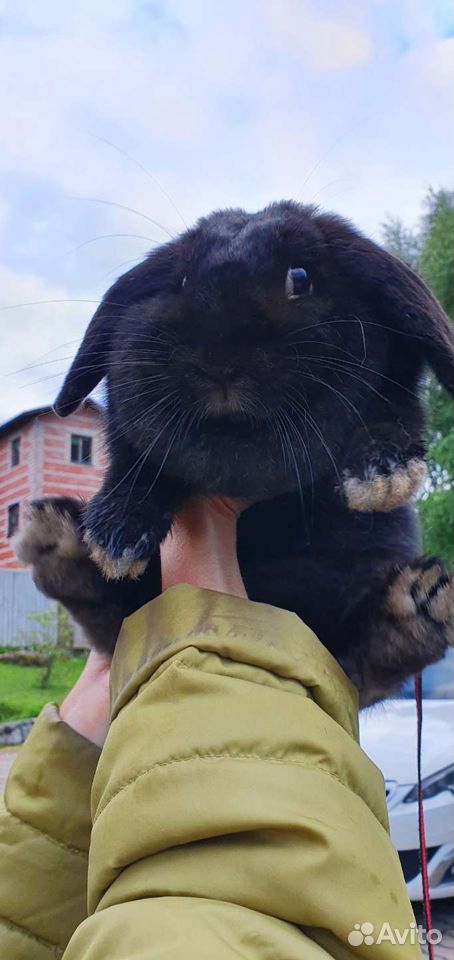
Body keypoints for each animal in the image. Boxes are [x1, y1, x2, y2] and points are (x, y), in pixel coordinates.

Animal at [16, 201, 454, 707]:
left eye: (300, 277)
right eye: (183, 280)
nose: (218, 359)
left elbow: (395, 412)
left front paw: (382, 474)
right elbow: (136, 462)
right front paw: (116, 533)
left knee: (364, 663)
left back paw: (421, 602)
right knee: (111, 617)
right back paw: (57, 536)